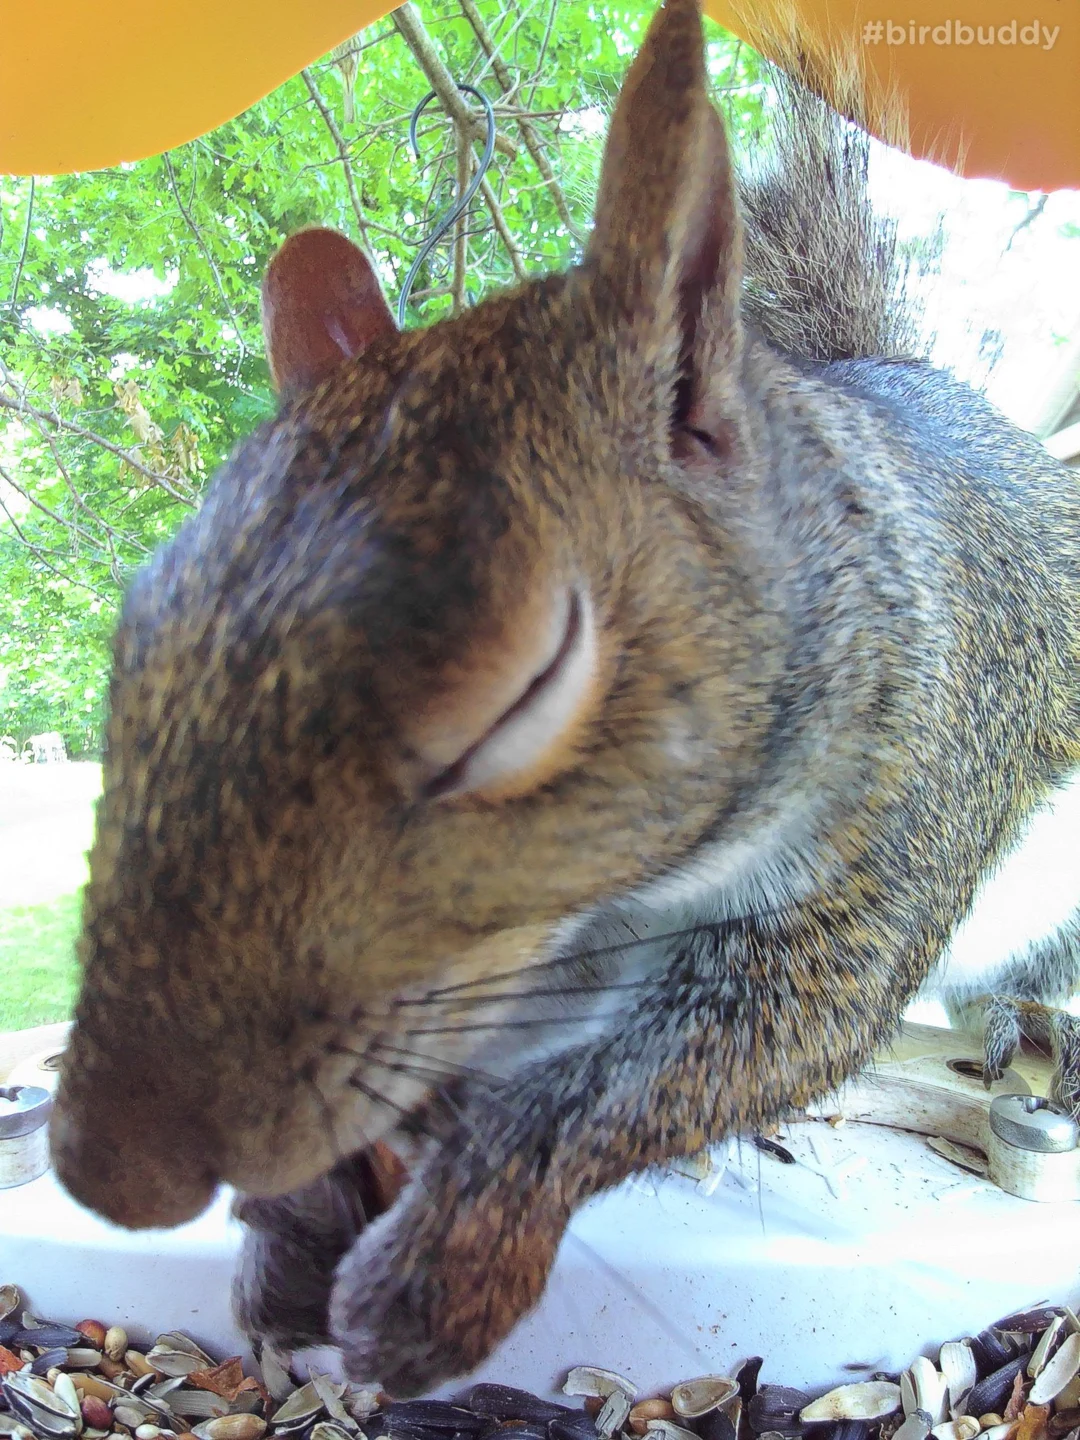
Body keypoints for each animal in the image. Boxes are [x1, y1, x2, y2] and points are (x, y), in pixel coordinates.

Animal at [49, 0, 1080, 1398]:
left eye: (521, 693)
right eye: (146, 615)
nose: (109, 1175)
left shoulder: (898, 818)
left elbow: (711, 1059)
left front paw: (457, 1254)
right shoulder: (545, 953)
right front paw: (306, 1218)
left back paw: (1029, 1018)